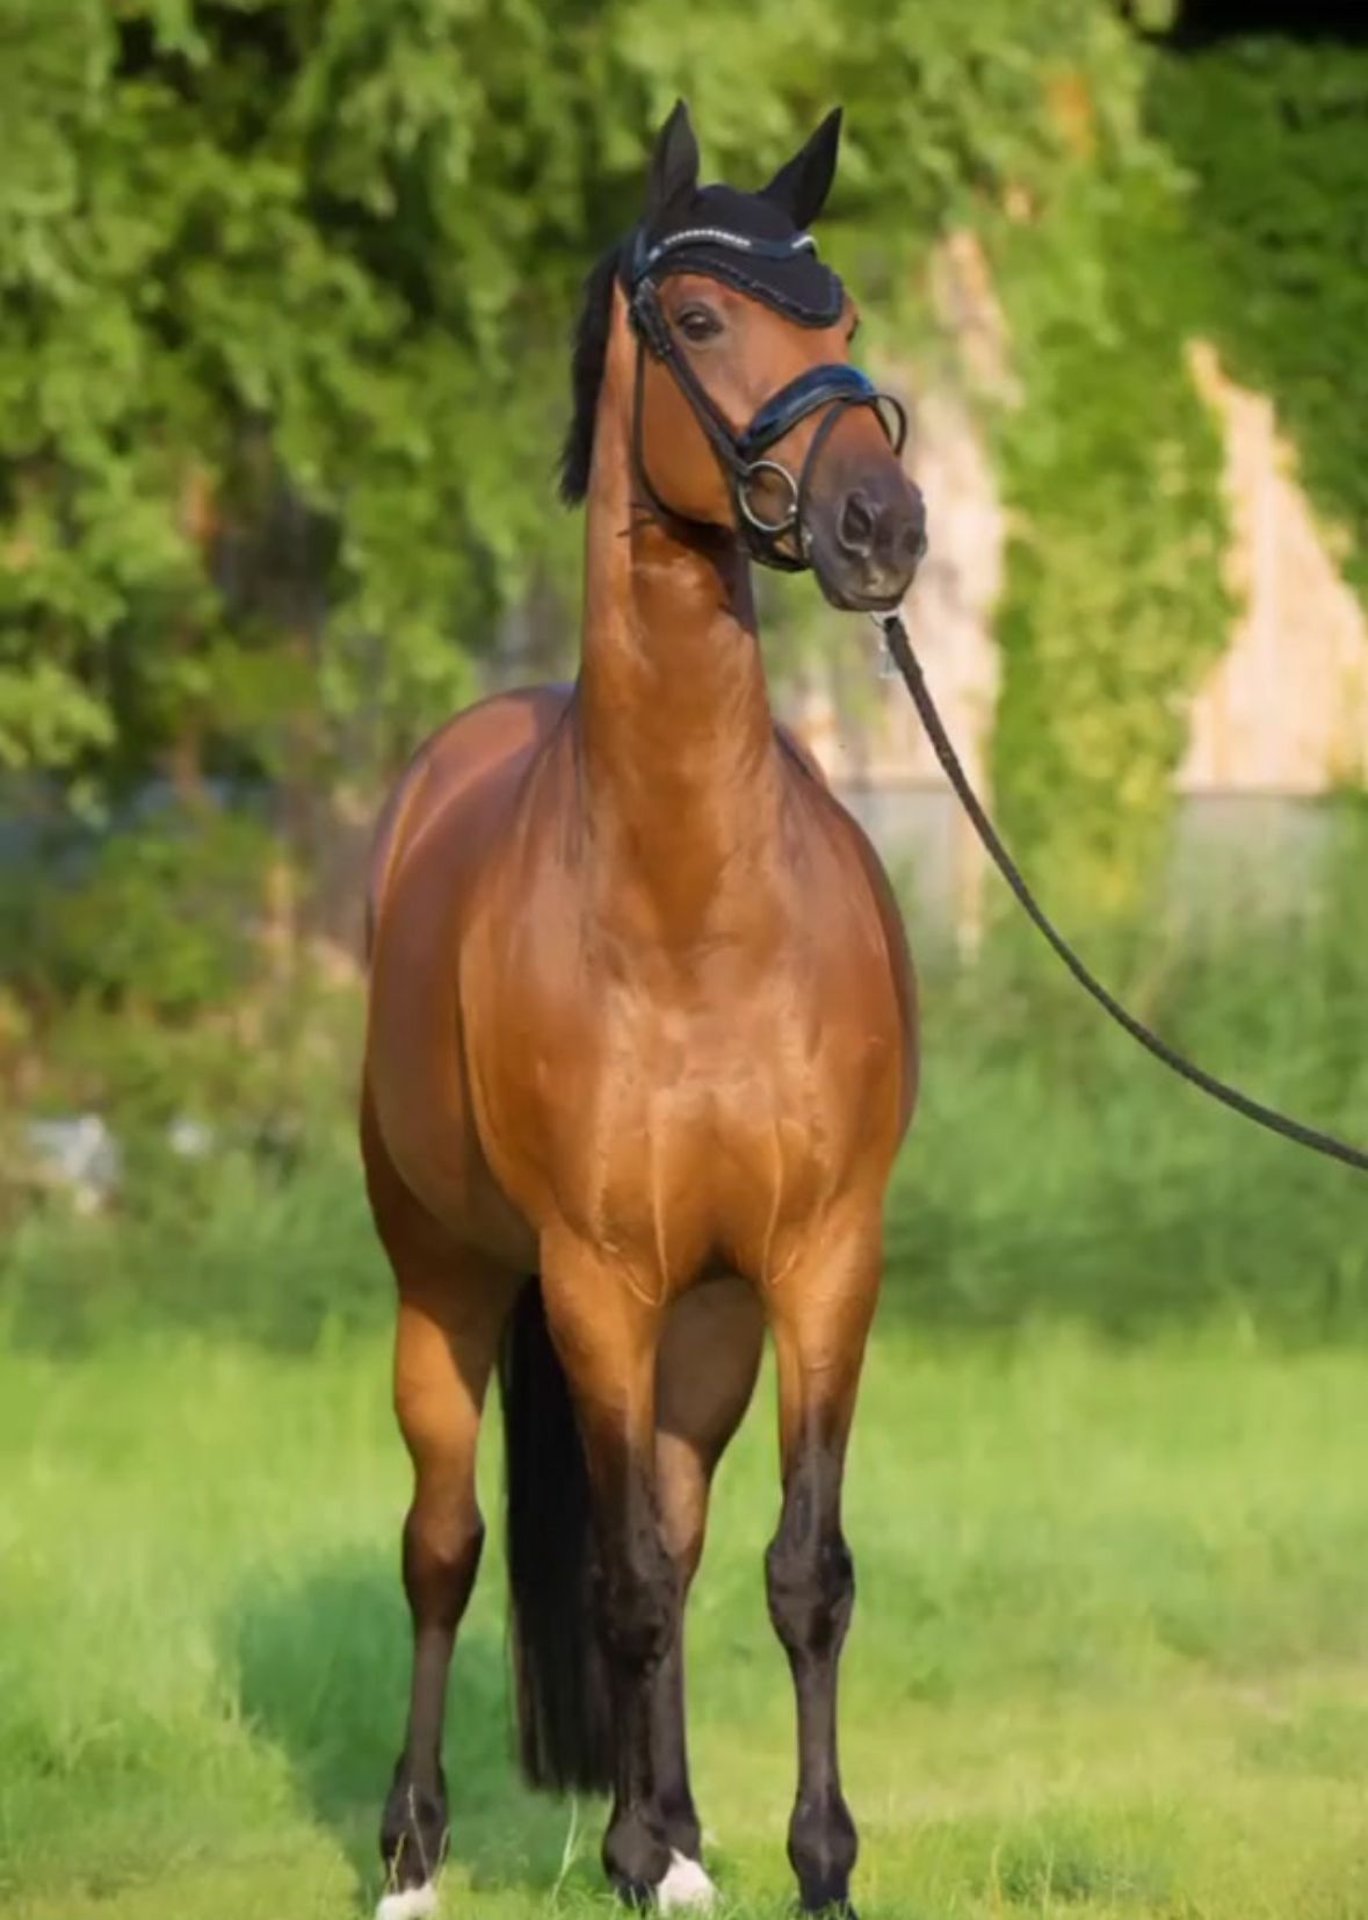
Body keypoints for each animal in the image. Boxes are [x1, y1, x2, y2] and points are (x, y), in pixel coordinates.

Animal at [361, 98, 926, 1920]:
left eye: (838, 311)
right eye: (694, 319)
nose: (883, 526)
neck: (689, 914)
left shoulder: (819, 1265)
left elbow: (797, 1573)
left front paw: (806, 1863)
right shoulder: (595, 1281)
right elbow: (600, 1583)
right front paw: (626, 1850)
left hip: (710, 1324)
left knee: (673, 1543)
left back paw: (675, 1837)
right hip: (450, 1285)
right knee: (447, 1546)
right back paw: (416, 1856)